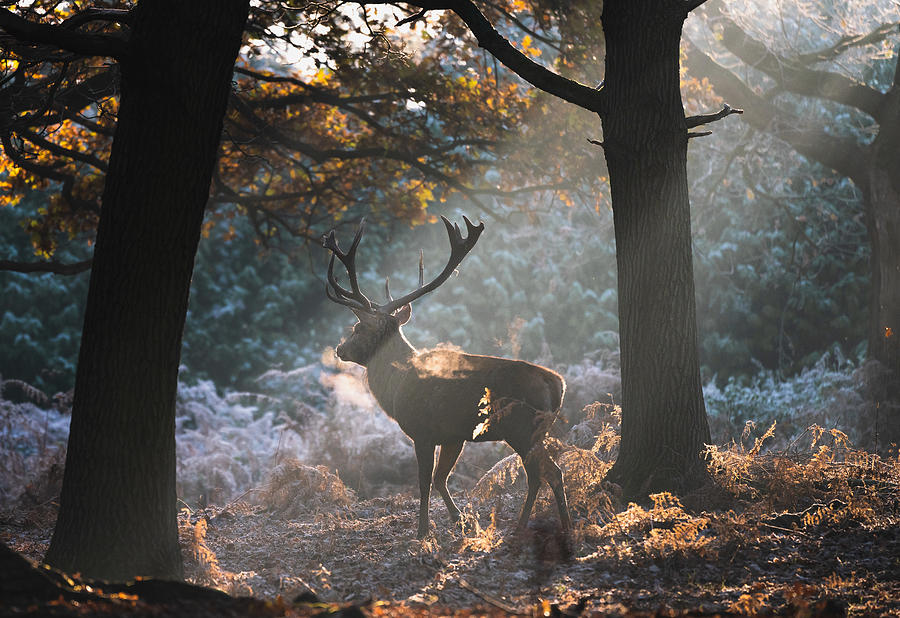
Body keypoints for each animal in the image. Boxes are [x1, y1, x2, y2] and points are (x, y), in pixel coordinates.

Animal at [322, 215, 571, 539]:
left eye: (358, 328)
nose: (340, 349)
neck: (396, 386)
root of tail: (558, 384)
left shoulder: (422, 431)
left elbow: (424, 482)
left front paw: (422, 531)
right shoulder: (454, 435)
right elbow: (441, 478)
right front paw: (459, 519)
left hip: (523, 427)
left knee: (545, 473)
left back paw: (529, 527)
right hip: (533, 430)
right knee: (547, 473)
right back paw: (554, 526)